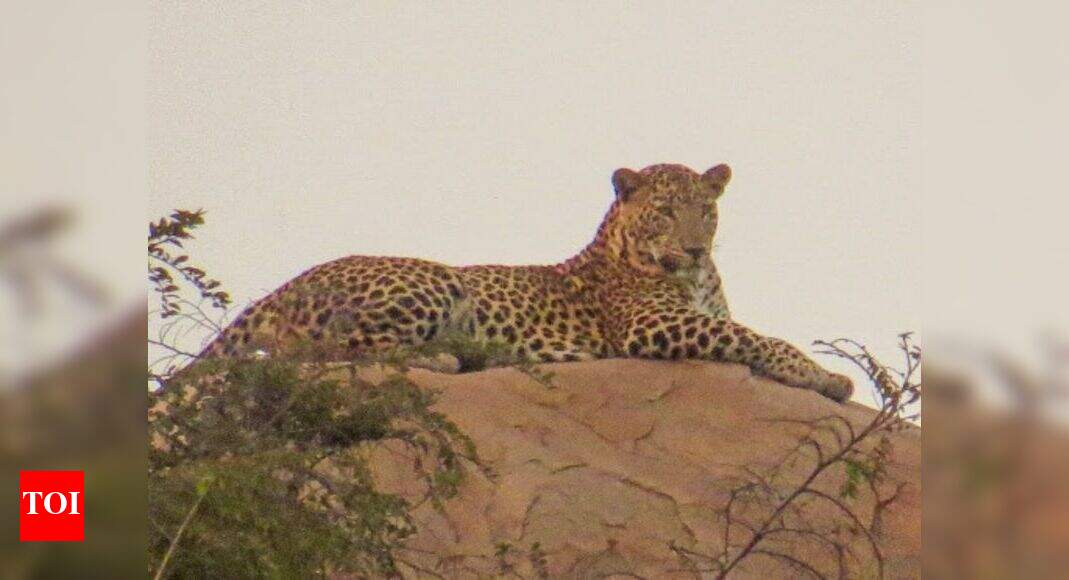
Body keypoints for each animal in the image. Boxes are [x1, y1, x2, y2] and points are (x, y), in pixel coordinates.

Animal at [198, 163, 853, 402]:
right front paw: (824, 376)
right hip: (436, 281)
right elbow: (759, 337)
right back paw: (443, 359)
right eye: (666, 211)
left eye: (706, 211)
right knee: (322, 350)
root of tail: (286, 283)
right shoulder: (650, 325)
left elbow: (743, 329)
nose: (695, 247)